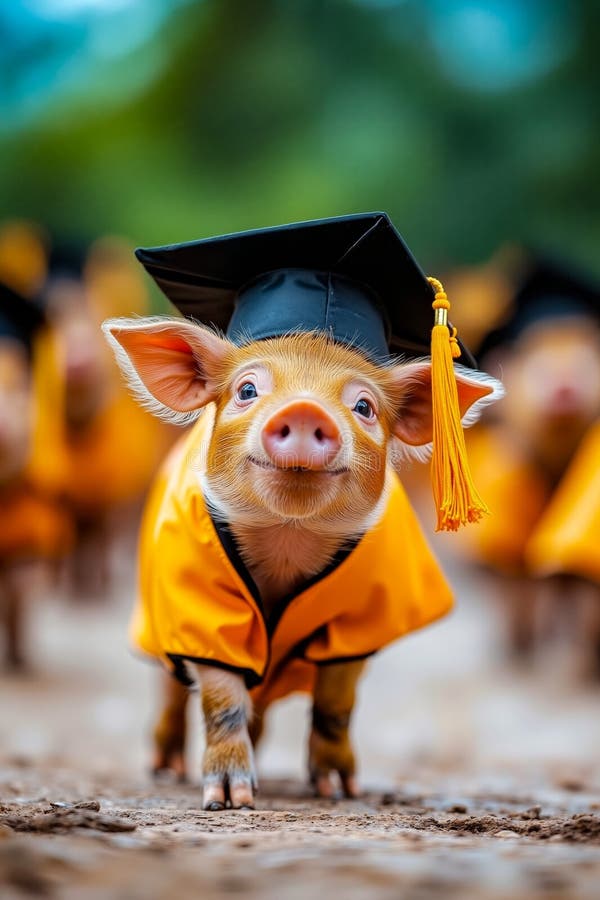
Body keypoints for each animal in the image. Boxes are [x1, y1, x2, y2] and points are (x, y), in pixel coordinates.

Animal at [103, 315, 501, 808]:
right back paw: (166, 771)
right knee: (171, 693)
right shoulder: (197, 606)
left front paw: (340, 791)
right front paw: (229, 801)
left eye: (364, 406)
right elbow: (221, 698)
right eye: (247, 390)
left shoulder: (359, 622)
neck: (286, 547)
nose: (306, 410)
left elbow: (335, 702)